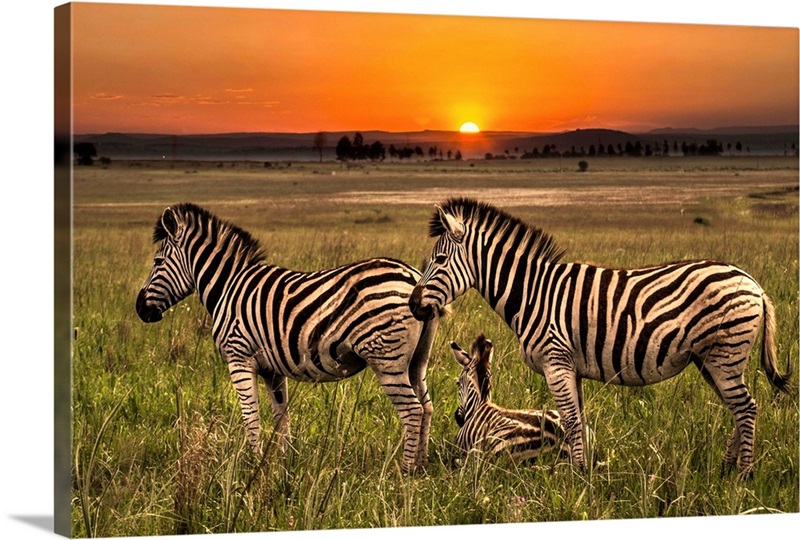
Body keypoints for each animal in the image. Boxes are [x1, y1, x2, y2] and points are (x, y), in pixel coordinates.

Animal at [135, 203, 443, 473]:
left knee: (412, 411)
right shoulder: (272, 369)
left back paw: (404, 472)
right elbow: (281, 416)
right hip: (417, 360)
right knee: (427, 407)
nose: (140, 308)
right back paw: (421, 466)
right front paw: (283, 463)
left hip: (386, 359)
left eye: (157, 262)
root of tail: (413, 276)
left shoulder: (239, 358)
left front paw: (253, 465)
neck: (228, 287)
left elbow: (251, 417)